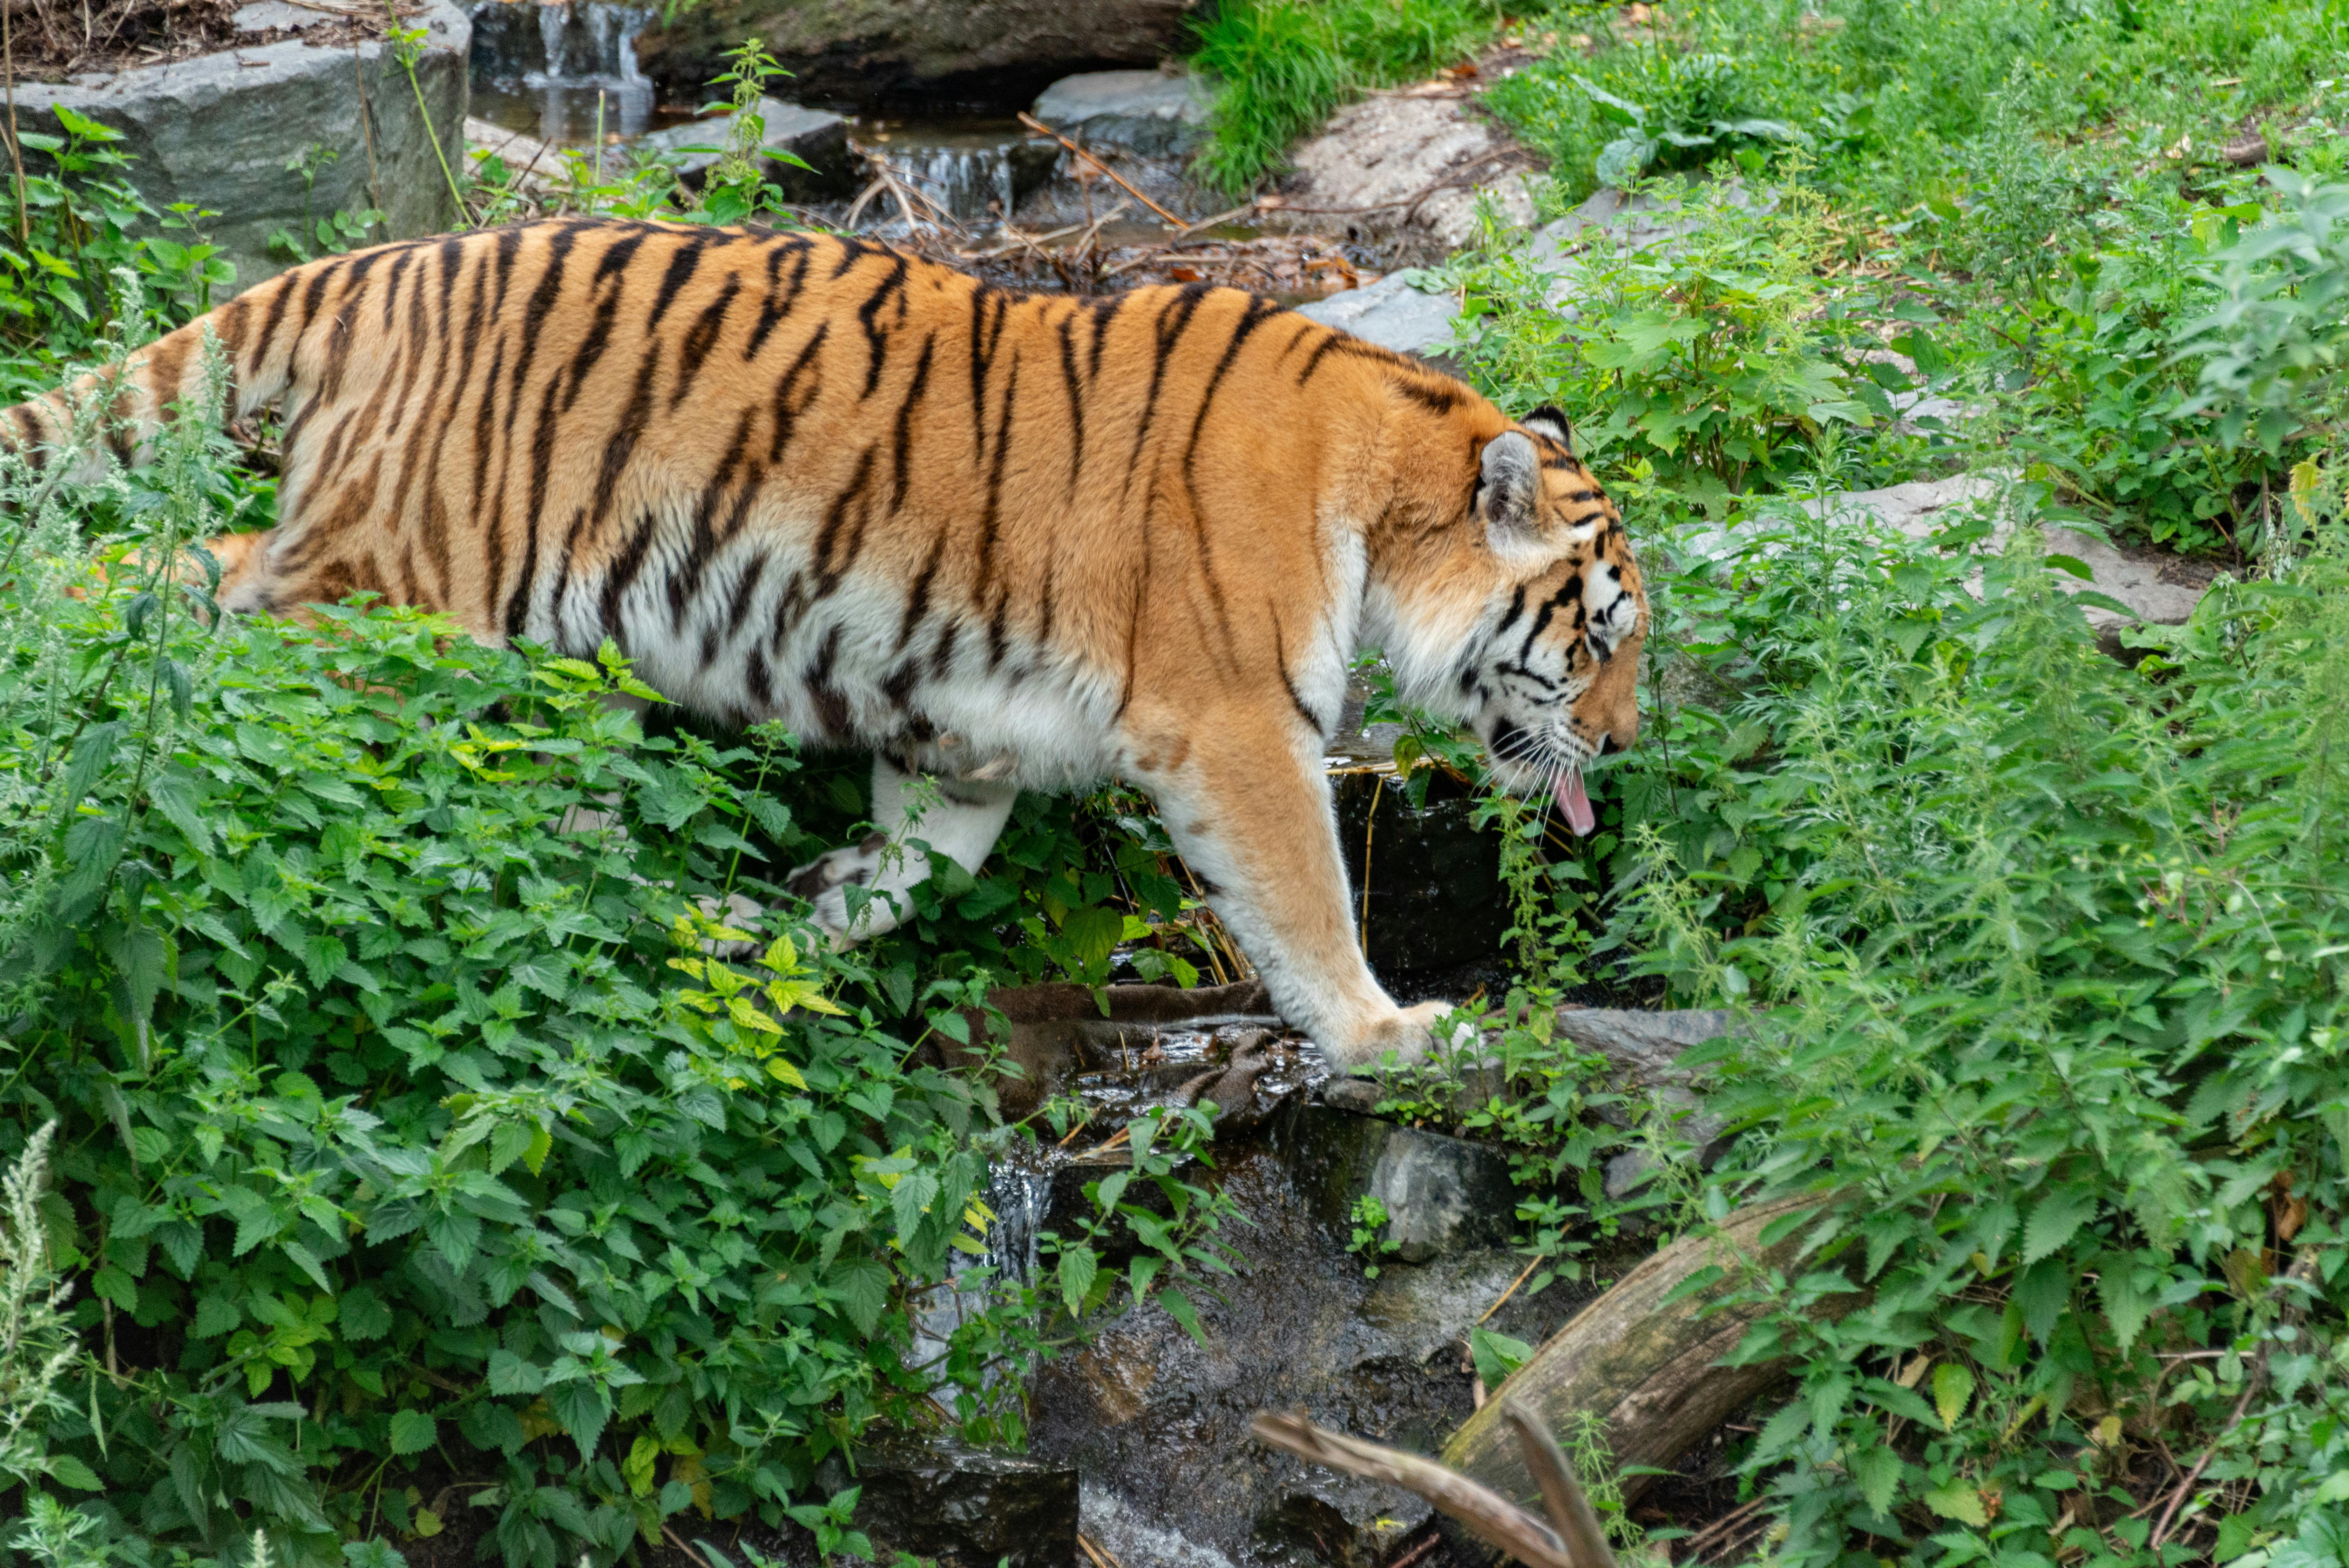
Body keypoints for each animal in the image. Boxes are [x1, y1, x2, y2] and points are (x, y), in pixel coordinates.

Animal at [4, 218, 1649, 1072]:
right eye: (1597, 631)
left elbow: (923, 865)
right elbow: (1305, 900)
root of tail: (376, 261)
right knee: (229, 633)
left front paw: (789, 926)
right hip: (402, 588)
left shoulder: (966, 731)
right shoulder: (1235, 721)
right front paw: (1394, 1034)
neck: (1379, 489)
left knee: (211, 576)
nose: (1628, 747)